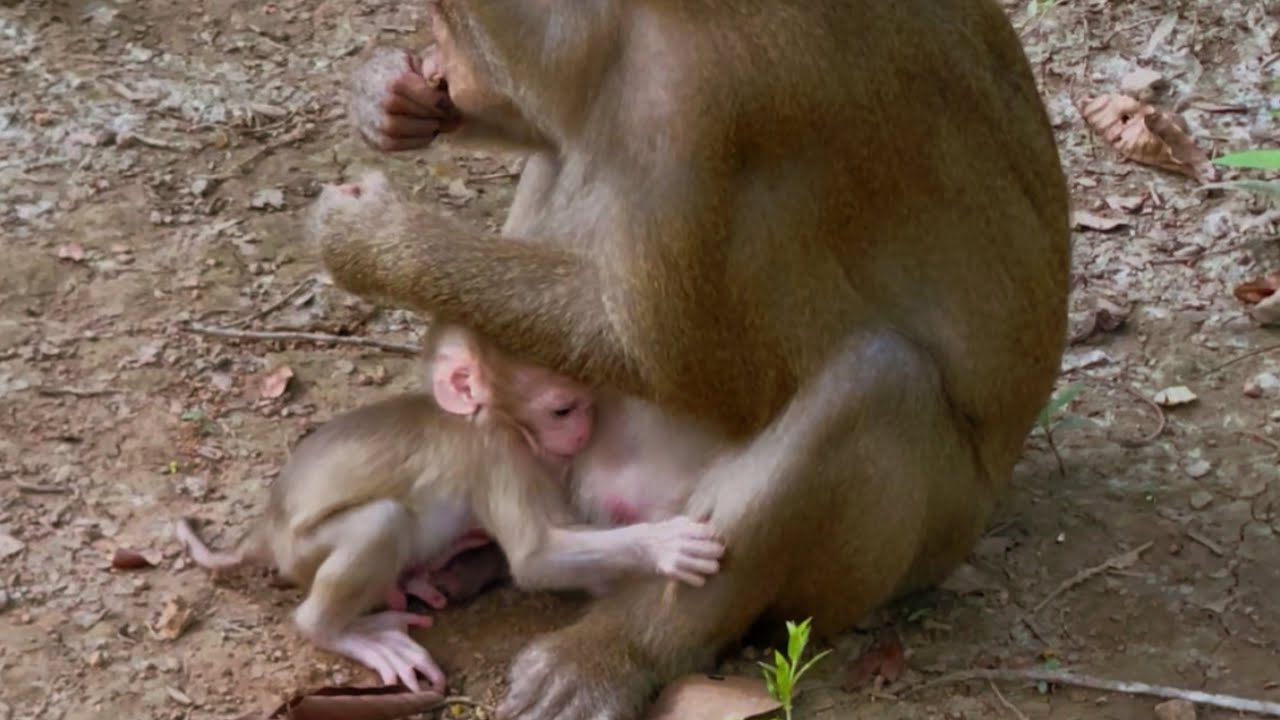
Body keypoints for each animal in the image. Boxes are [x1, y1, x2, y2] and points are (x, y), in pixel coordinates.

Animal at [174, 323, 726, 693]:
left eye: (589, 403)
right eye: (563, 409)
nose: (583, 430)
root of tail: (264, 529)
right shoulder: (497, 449)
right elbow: (535, 557)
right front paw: (662, 543)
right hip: (300, 551)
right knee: (380, 523)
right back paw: (342, 631)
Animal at [325, 2, 1071, 718]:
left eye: (445, 18)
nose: (443, 65)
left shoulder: (692, 100)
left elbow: (685, 361)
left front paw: (377, 240)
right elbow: (558, 121)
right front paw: (385, 94)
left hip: (905, 556)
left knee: (877, 381)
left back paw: (617, 650)